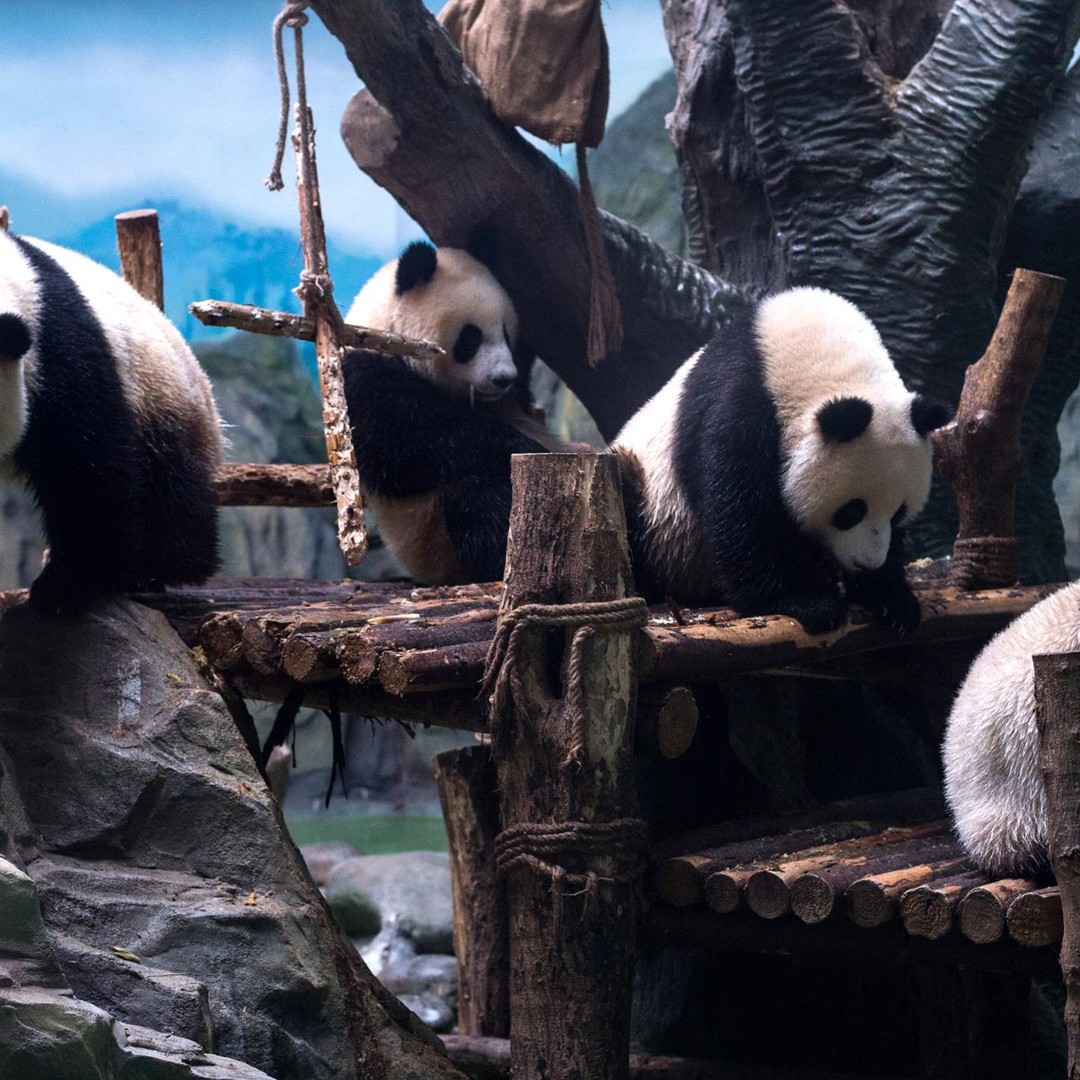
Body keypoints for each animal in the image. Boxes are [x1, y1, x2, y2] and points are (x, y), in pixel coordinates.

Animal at [0, 231, 224, 612]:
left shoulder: (58, 349)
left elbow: (85, 470)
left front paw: (65, 586)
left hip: (162, 399)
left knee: (171, 497)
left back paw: (152, 570)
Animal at [343, 240, 567, 585]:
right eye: (471, 337)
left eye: (506, 332)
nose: (504, 378)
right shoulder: (367, 377)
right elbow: (402, 450)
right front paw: (523, 445)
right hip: (435, 541)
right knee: (479, 496)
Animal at [611, 287, 952, 634]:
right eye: (851, 511)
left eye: (899, 514)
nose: (866, 563)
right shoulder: (739, 406)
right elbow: (743, 511)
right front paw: (806, 602)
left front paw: (891, 600)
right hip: (658, 512)